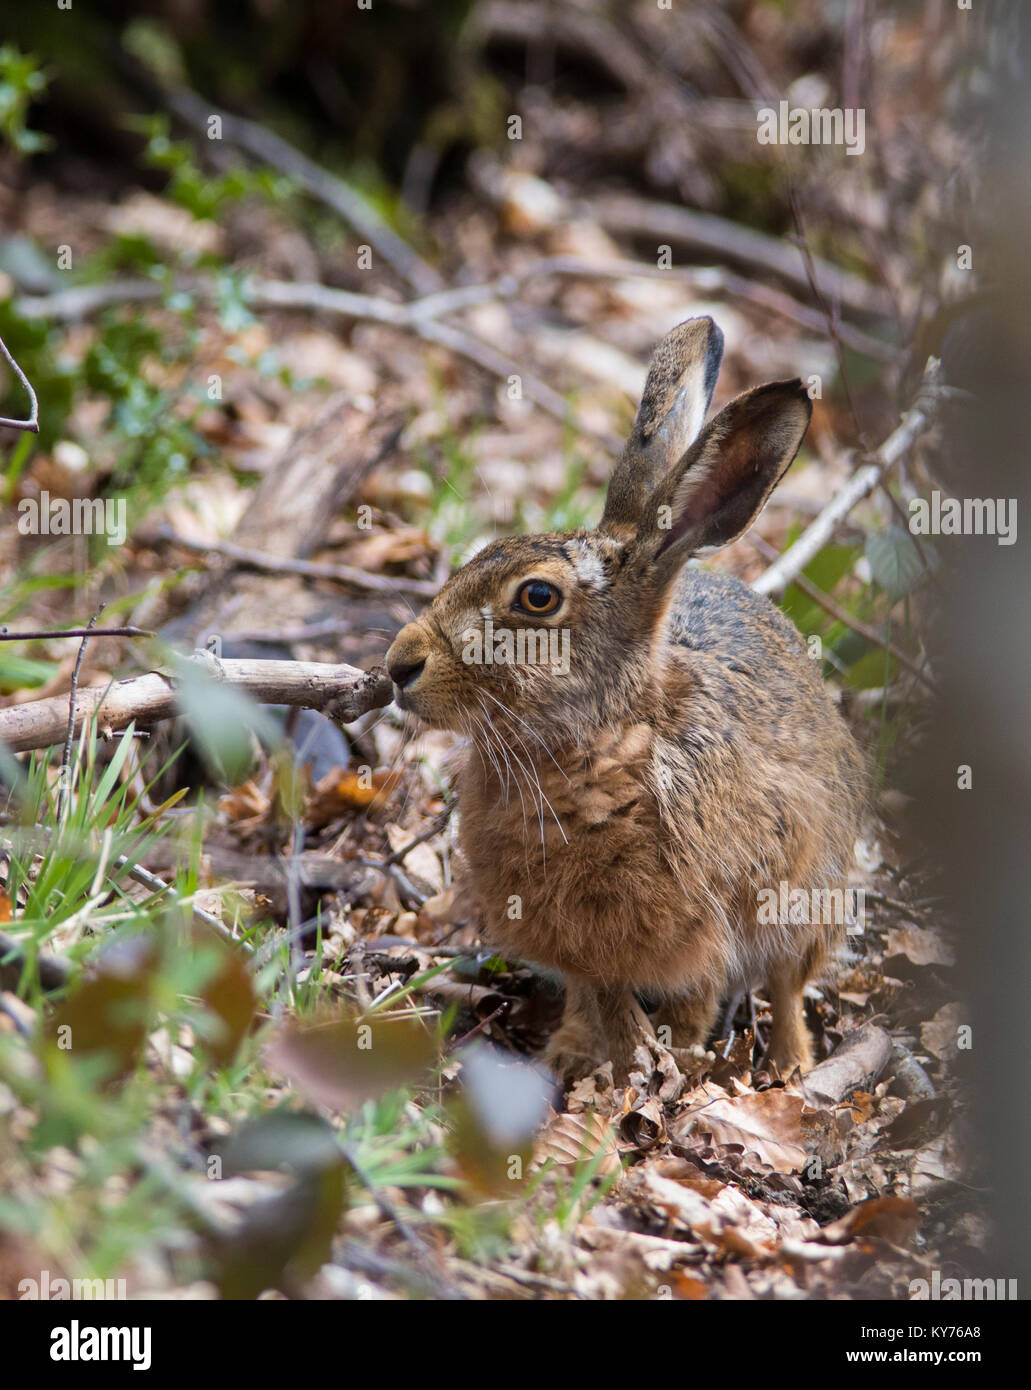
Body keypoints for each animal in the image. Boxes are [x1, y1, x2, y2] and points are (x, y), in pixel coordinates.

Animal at [385, 317, 865, 1086]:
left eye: (537, 598)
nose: (400, 665)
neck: (602, 742)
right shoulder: (582, 949)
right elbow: (596, 996)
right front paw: (585, 1062)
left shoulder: (703, 928)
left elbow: (694, 1004)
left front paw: (665, 1073)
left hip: (810, 895)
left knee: (788, 984)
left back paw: (791, 1069)